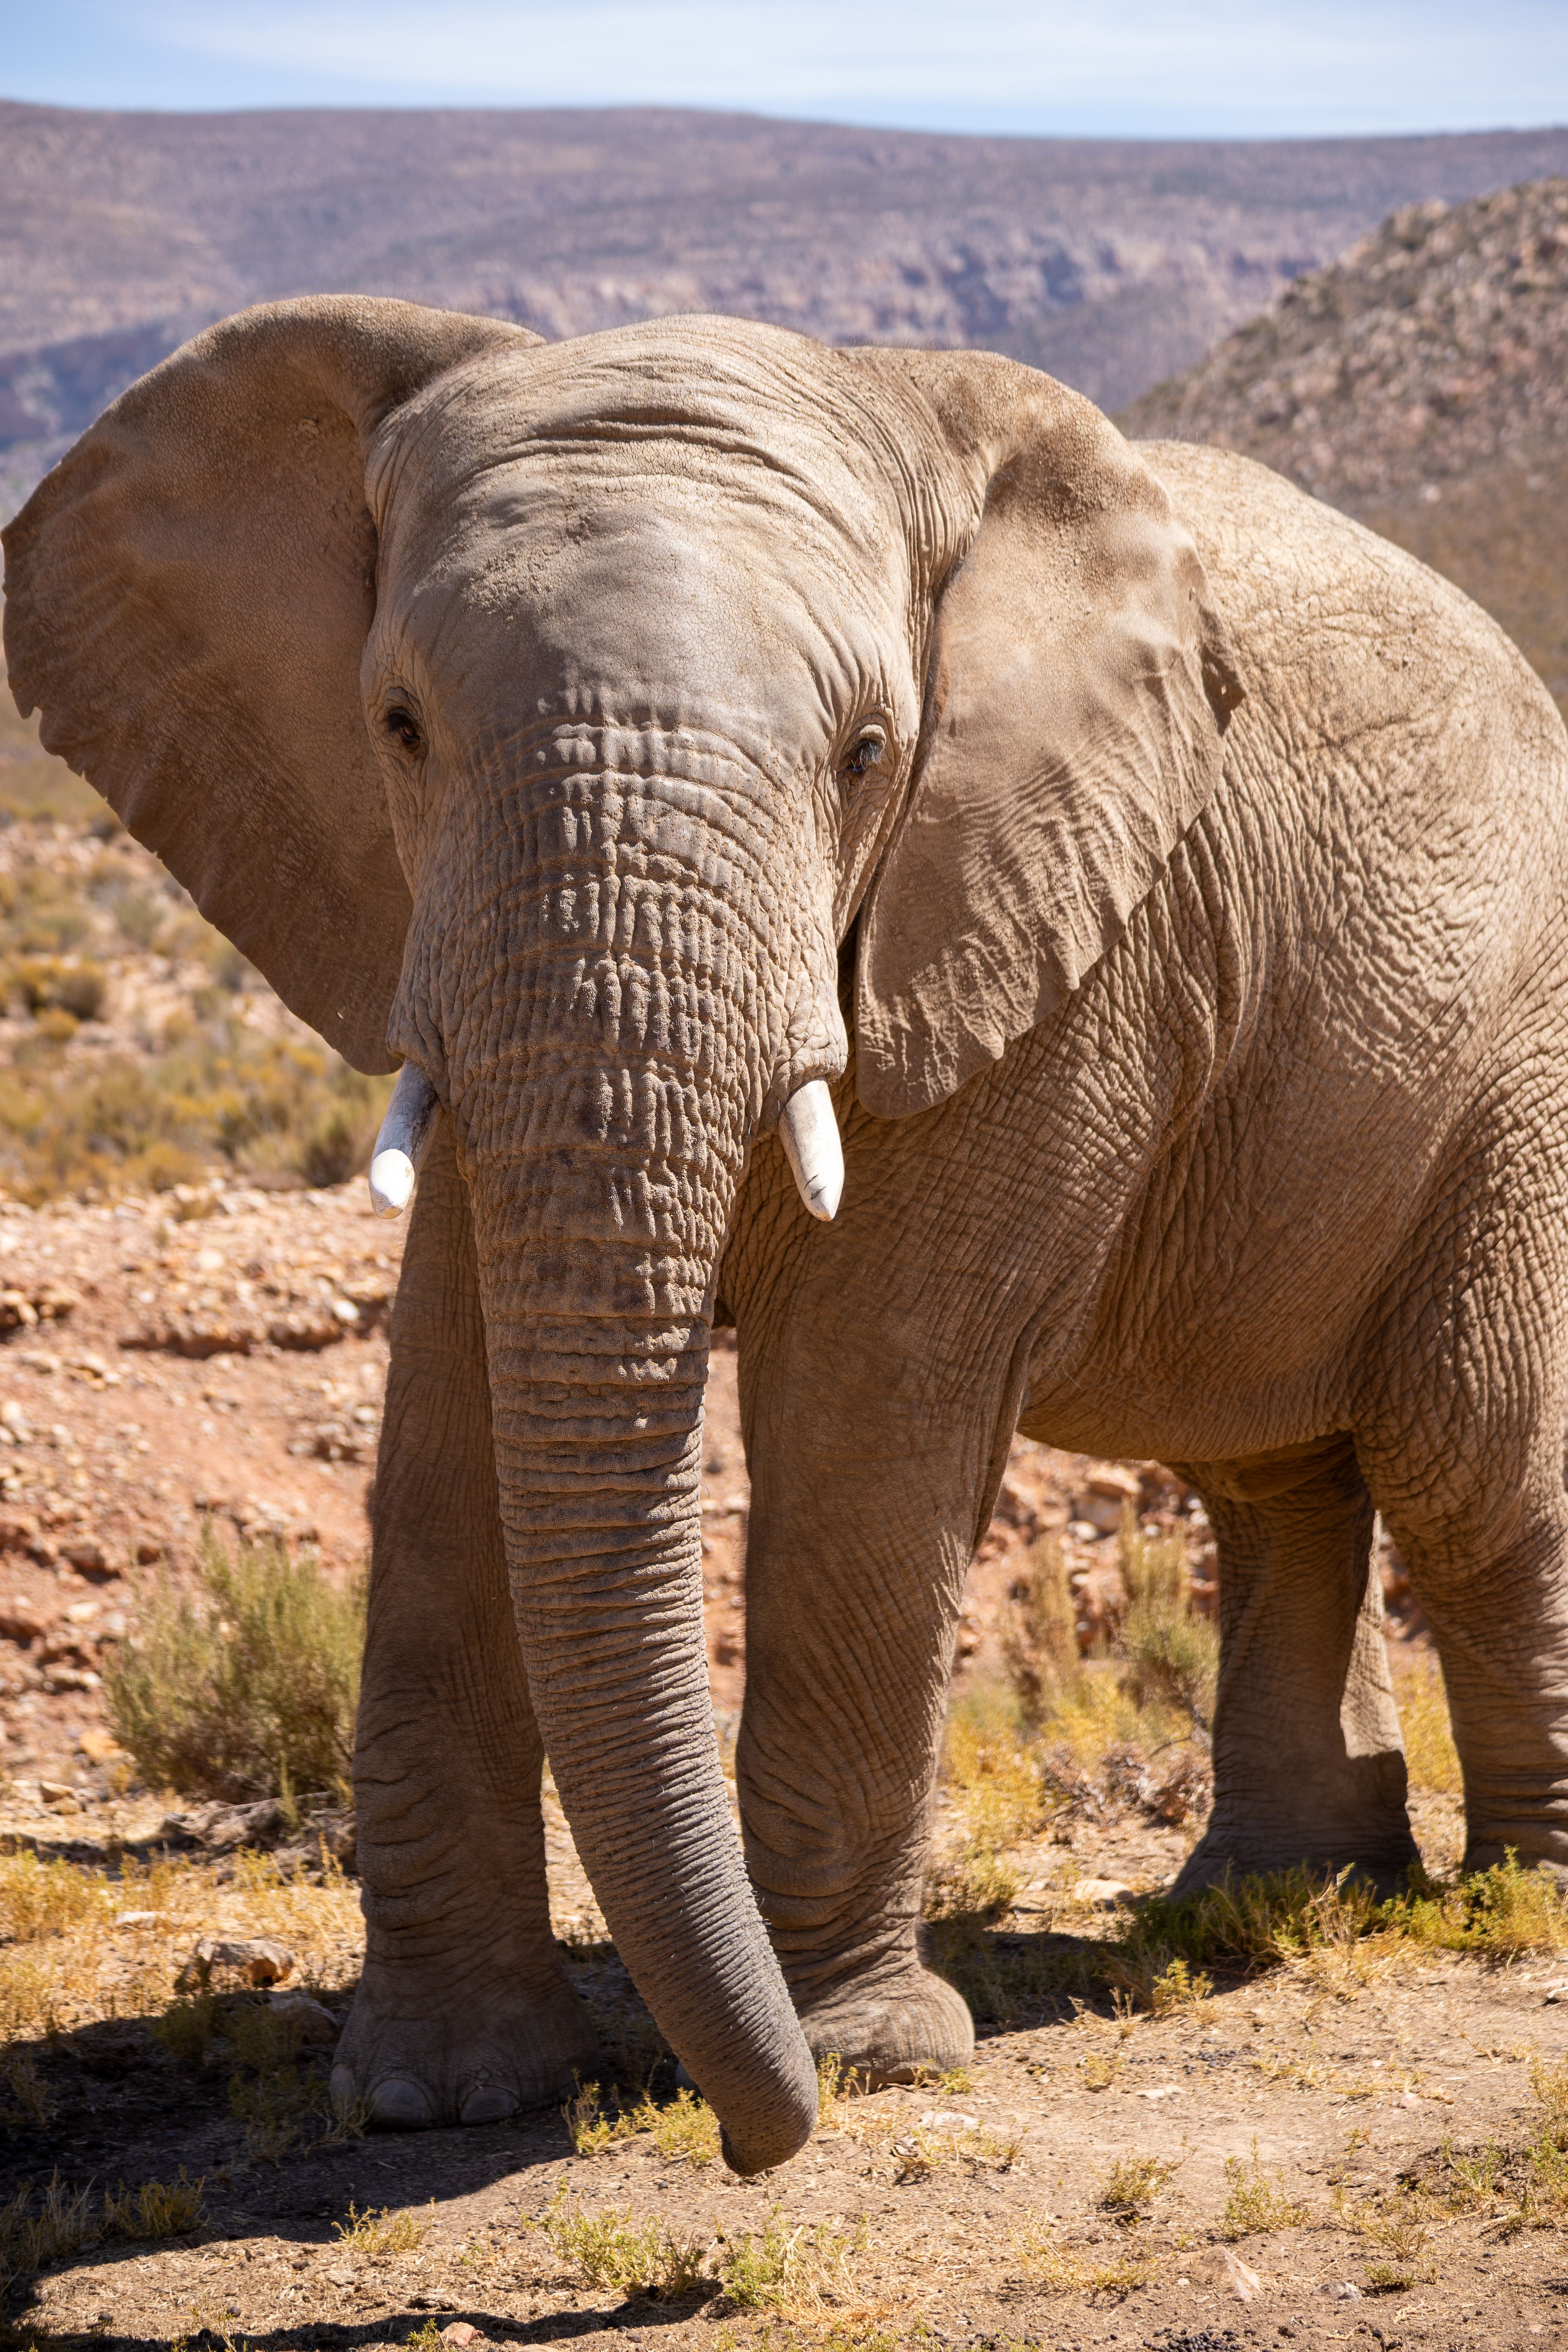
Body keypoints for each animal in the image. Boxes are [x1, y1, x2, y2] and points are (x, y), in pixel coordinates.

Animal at [6, 297, 1568, 2179]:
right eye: (396, 726)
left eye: (867, 757)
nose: (755, 2144)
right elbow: (451, 1408)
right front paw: (435, 2096)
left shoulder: (1027, 934)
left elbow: (868, 1402)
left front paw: (864, 2060)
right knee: (1272, 1474)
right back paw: (1265, 1902)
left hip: (1511, 1055)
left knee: (1463, 1459)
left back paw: (1515, 1896)